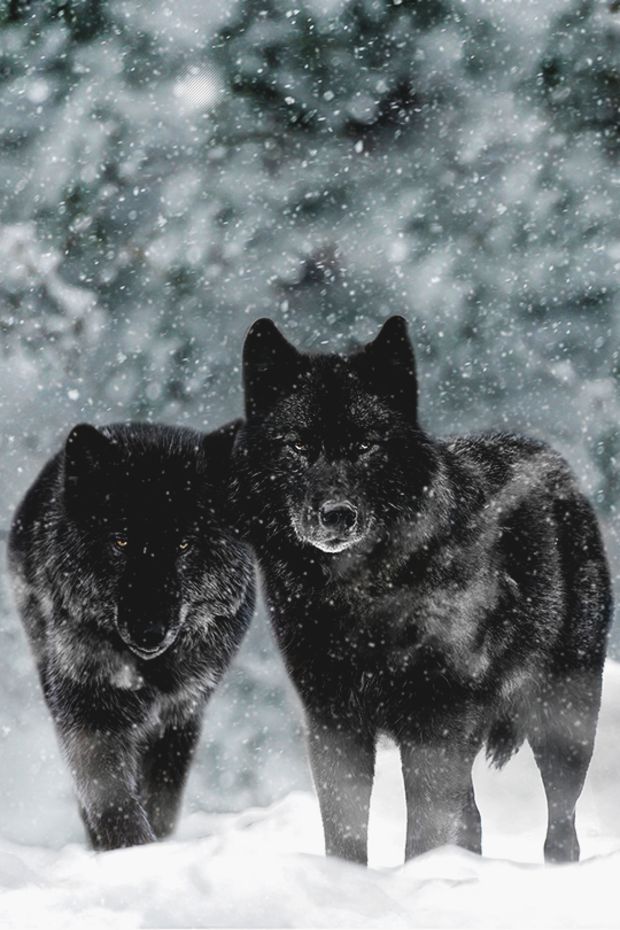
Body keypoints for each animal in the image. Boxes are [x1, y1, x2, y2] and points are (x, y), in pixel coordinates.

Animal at [8, 421, 255, 850]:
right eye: (120, 541)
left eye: (184, 544)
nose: (149, 632)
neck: (150, 670)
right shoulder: (88, 710)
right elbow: (111, 797)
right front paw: (131, 852)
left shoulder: (181, 713)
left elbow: (160, 800)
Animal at [234, 315, 612, 865]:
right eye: (299, 446)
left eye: (366, 445)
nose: (336, 515)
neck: (361, 598)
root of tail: (554, 460)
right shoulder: (334, 721)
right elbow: (345, 833)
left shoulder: (435, 721)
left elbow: (423, 830)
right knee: (472, 819)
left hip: (564, 721)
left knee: (561, 826)